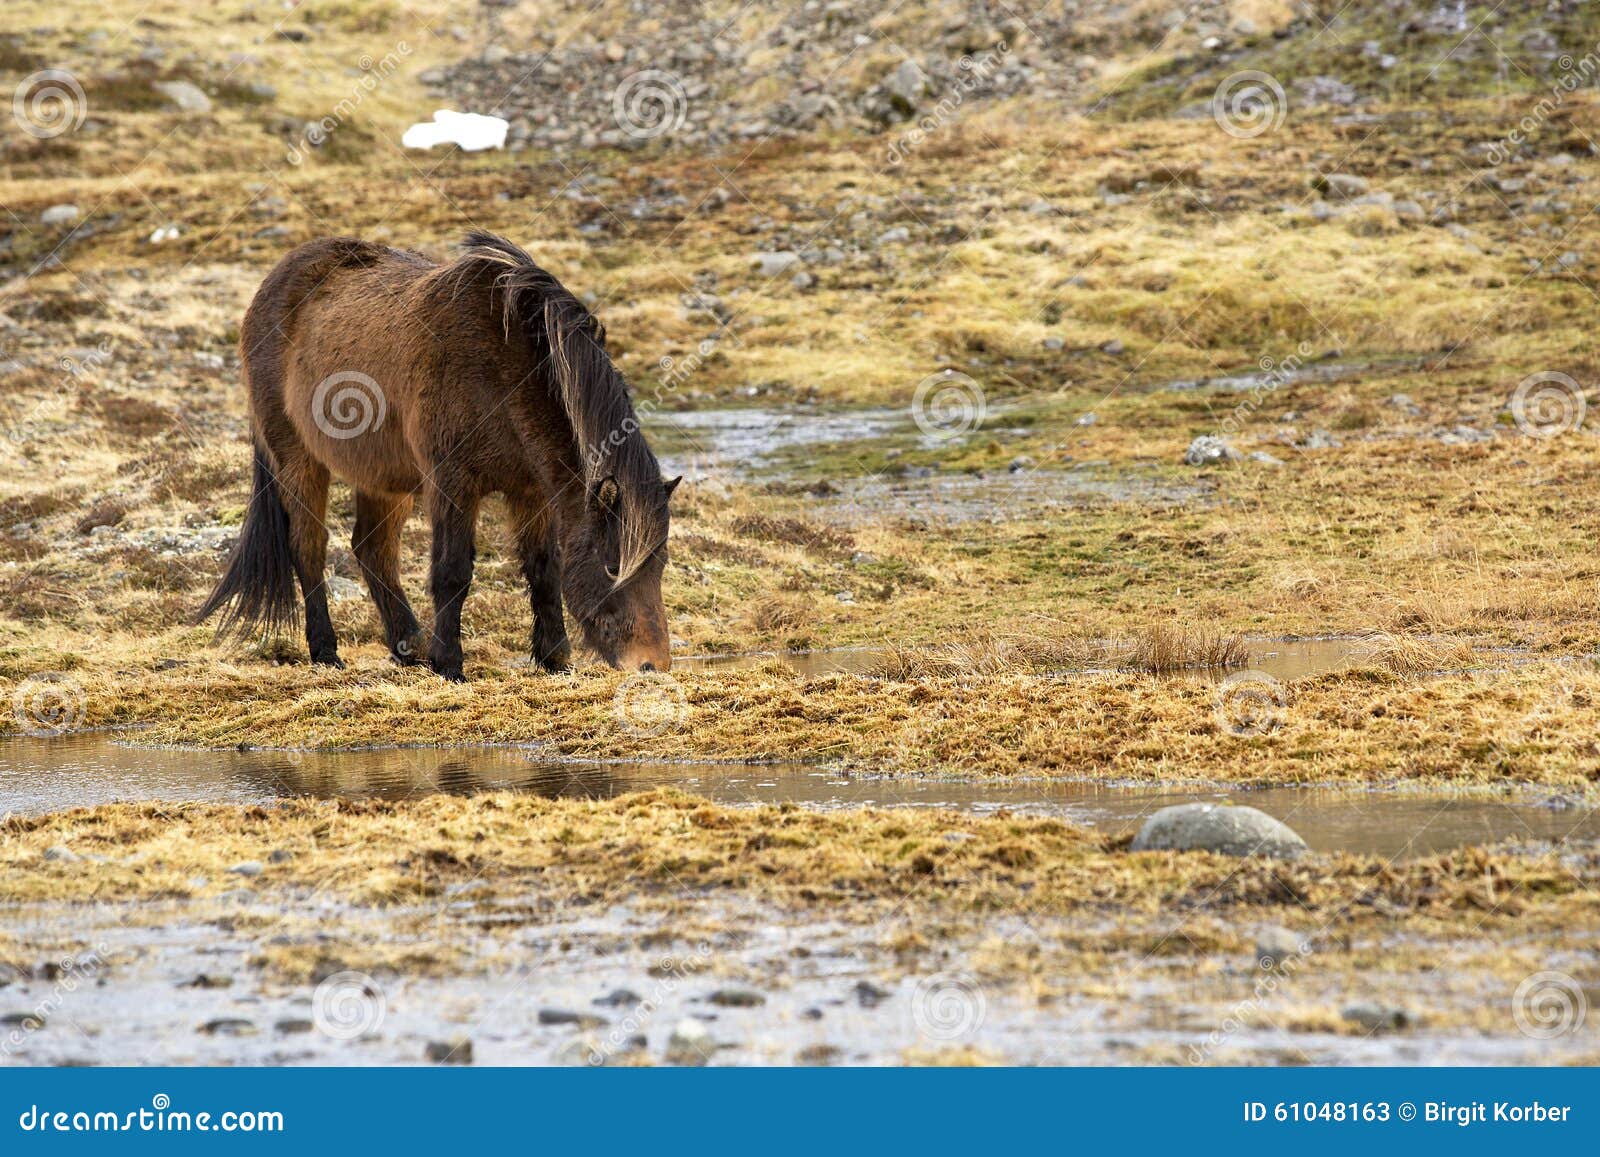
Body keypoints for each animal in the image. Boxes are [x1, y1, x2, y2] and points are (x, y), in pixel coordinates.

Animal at [198, 230, 678, 681]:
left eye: (660, 563)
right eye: (613, 564)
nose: (652, 664)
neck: (501, 366)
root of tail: (276, 278)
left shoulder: (530, 491)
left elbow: (544, 569)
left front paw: (555, 659)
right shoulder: (452, 483)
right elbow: (453, 572)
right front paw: (449, 665)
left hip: (382, 477)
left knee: (372, 550)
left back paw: (408, 644)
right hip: (299, 461)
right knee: (309, 547)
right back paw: (327, 652)